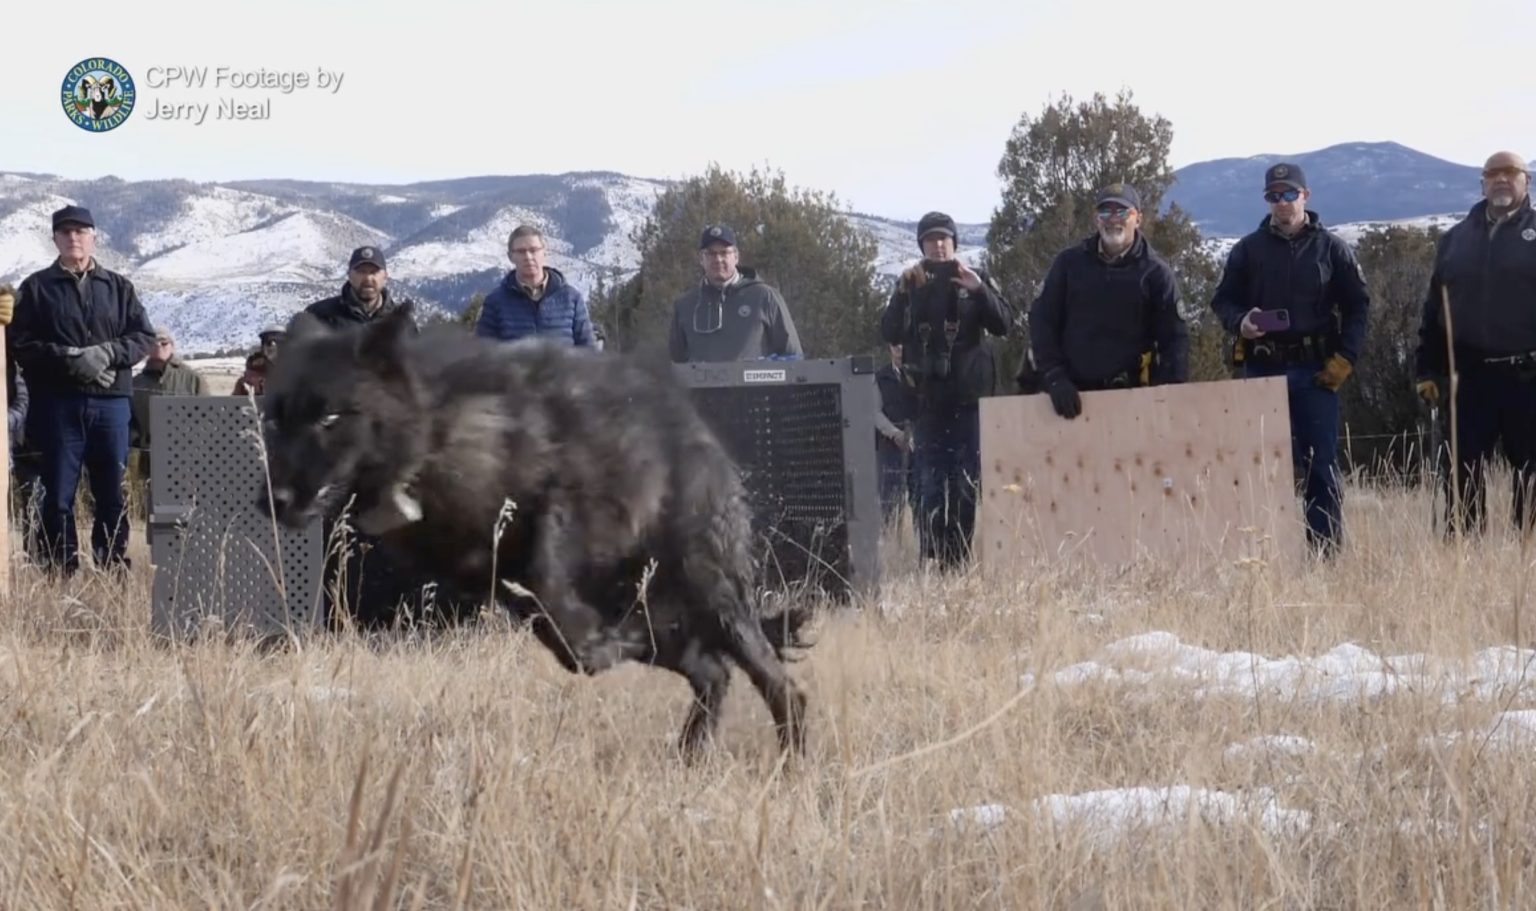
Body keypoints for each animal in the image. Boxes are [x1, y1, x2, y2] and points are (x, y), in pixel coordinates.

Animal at [256, 303, 815, 760]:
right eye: (275, 420)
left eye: (330, 417)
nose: (271, 501)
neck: (435, 438)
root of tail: (702, 435)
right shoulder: (503, 585)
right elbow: (567, 642)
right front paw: (610, 644)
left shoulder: (566, 512)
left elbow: (567, 617)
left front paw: (611, 644)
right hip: (646, 600)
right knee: (712, 672)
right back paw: (689, 754)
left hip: (710, 591)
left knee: (780, 685)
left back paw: (790, 762)